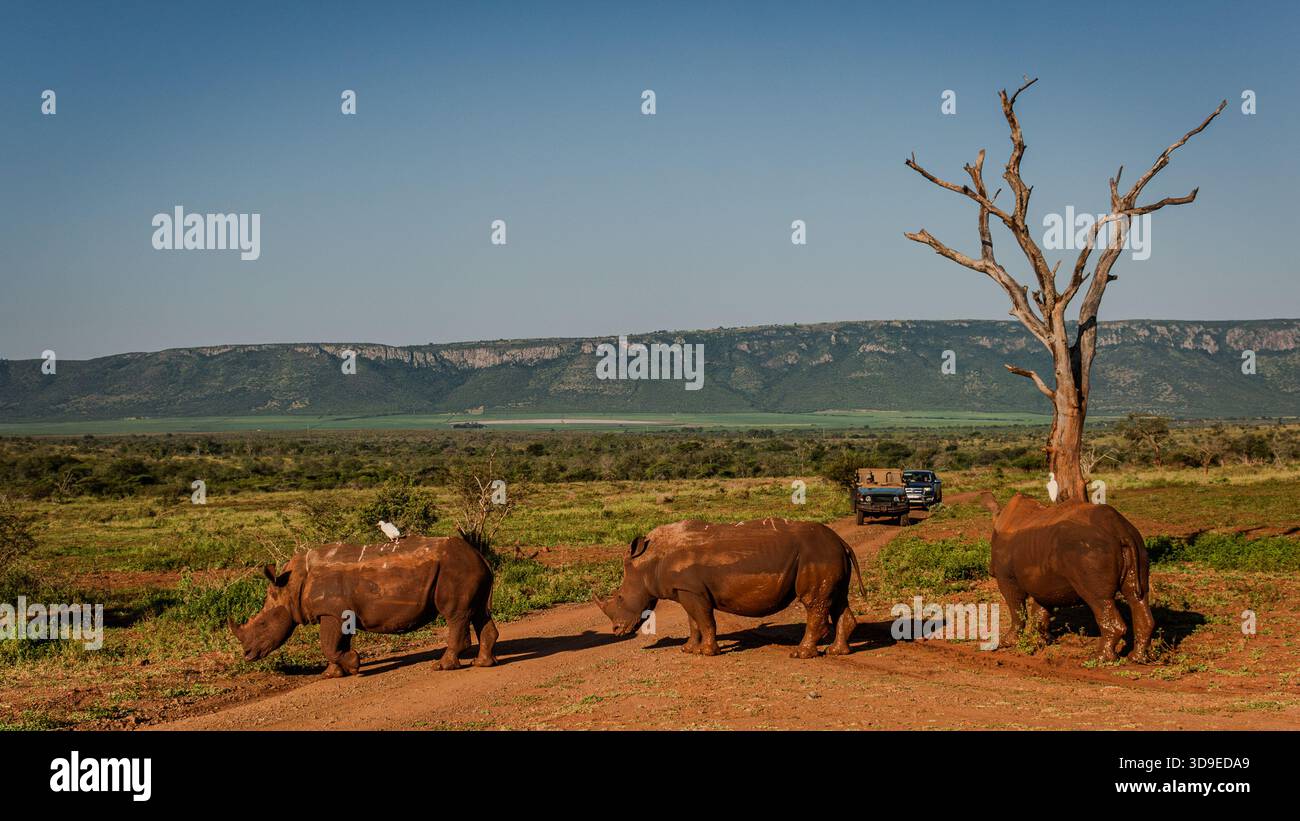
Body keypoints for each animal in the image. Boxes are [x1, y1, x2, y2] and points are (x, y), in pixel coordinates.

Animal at [228, 535, 497, 676]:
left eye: (263, 624)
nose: (247, 654)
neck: (291, 584)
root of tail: (480, 556)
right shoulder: (339, 613)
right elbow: (336, 644)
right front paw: (331, 674)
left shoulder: (332, 613)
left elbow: (329, 645)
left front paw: (354, 665)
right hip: (468, 569)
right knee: (478, 613)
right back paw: (483, 663)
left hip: (456, 569)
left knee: (456, 615)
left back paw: (442, 666)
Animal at [595, 518, 867, 658]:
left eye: (620, 597)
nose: (616, 631)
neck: (651, 559)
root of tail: (841, 541)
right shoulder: (687, 591)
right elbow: (693, 622)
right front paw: (688, 649)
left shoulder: (692, 591)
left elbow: (705, 621)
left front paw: (707, 653)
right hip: (829, 554)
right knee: (836, 600)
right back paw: (837, 652)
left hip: (817, 554)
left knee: (814, 602)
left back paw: (800, 654)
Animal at [990, 494, 1153, 662]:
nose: (990, 571)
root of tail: (1119, 529)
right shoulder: (1043, 578)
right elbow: (1040, 609)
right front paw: (1040, 641)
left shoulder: (1006, 577)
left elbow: (1016, 607)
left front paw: (1007, 642)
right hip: (1136, 542)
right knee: (1137, 596)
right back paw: (1137, 658)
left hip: (1090, 551)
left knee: (1099, 599)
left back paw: (1099, 658)